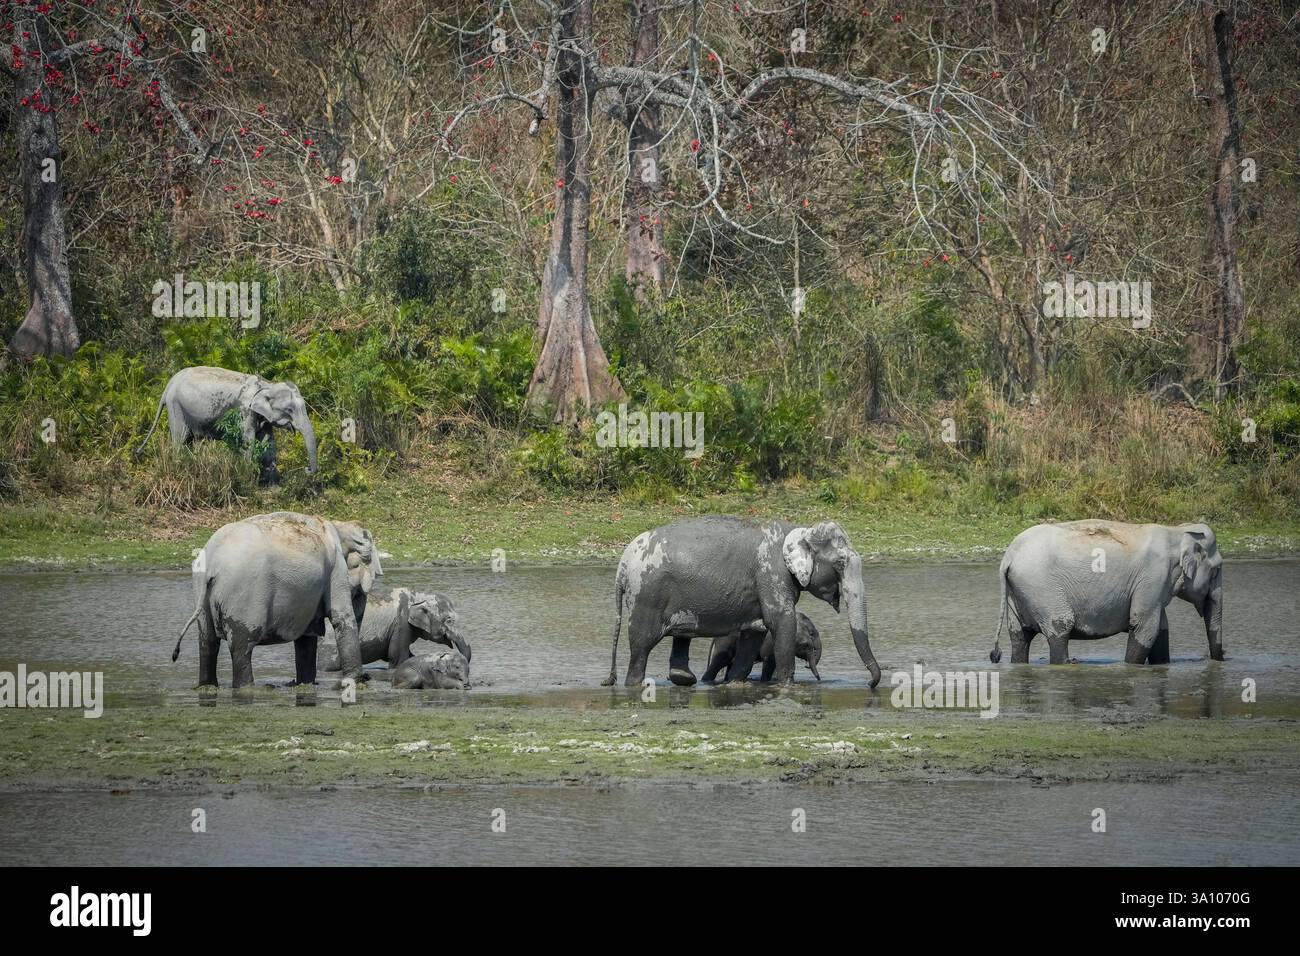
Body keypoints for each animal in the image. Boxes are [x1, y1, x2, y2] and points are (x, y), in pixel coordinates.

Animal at [137, 365, 318, 480]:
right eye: (289, 410)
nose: (307, 470)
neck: (266, 384)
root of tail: (169, 383)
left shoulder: (261, 416)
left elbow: (268, 442)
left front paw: (272, 483)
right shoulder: (244, 410)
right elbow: (248, 441)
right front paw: (247, 478)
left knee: (189, 441)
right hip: (176, 407)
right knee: (180, 439)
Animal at [171, 511, 382, 688]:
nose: (364, 676)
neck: (339, 527)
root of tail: (211, 562)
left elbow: (307, 637)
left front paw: (305, 684)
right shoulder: (335, 569)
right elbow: (341, 619)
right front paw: (356, 682)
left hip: (201, 593)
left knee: (207, 643)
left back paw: (207, 686)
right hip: (244, 596)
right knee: (242, 647)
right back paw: (247, 687)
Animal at [602, 516, 881, 688]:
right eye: (840, 564)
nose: (869, 683)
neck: (798, 528)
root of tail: (622, 565)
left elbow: (755, 631)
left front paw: (735, 683)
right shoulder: (772, 574)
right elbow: (781, 622)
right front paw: (787, 686)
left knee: (681, 637)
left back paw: (684, 679)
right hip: (646, 595)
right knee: (641, 644)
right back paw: (635, 683)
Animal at [988, 520, 1224, 666]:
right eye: (1217, 570)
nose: (1217, 659)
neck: (1176, 531)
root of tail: (1009, 555)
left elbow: (1161, 629)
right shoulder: (1152, 577)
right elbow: (1143, 626)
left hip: (1019, 591)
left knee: (1020, 636)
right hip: (1041, 588)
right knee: (1060, 628)